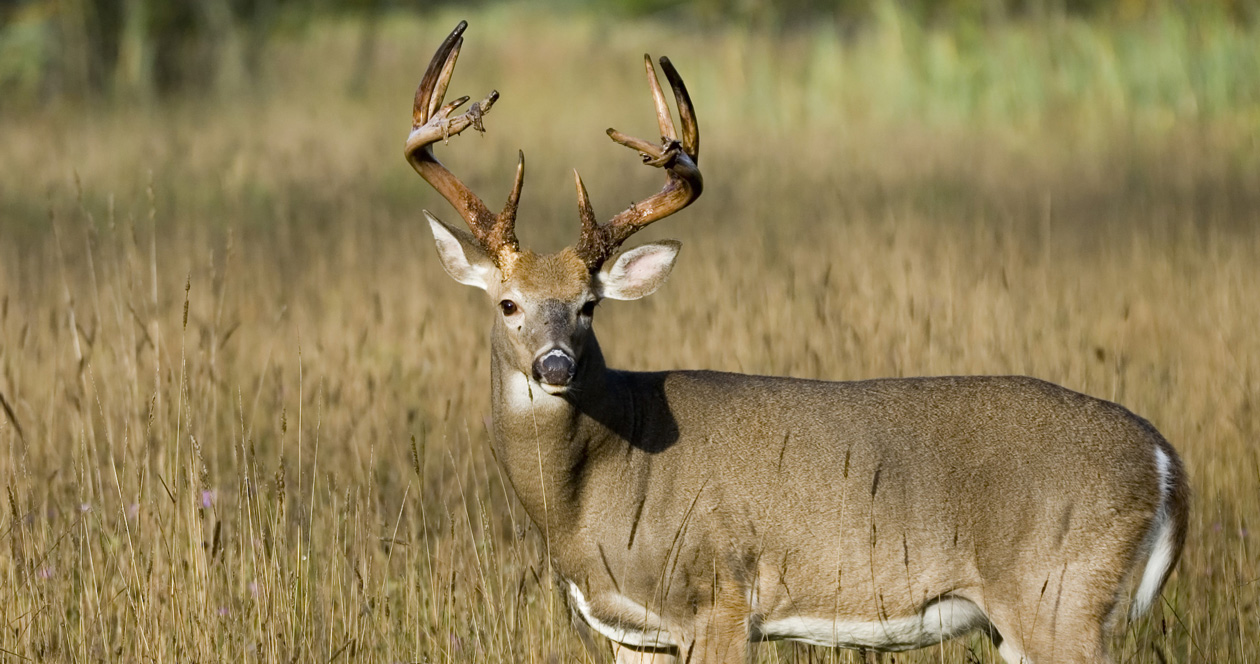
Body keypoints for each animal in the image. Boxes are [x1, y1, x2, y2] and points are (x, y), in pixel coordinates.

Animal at [404, 21, 1188, 664]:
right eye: (508, 302)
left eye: (589, 307)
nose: (555, 365)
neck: (599, 482)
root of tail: (1167, 463)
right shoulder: (636, 630)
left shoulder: (719, 598)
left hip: (1062, 598)